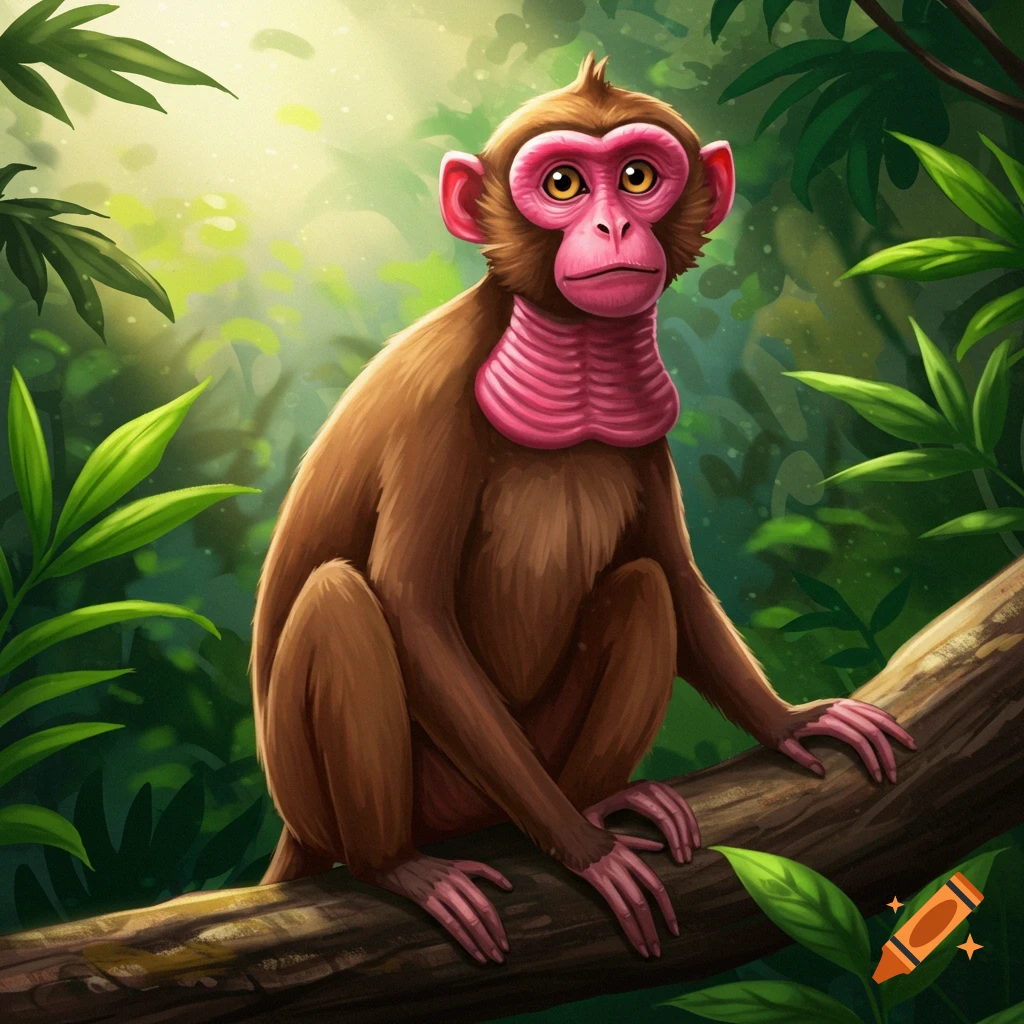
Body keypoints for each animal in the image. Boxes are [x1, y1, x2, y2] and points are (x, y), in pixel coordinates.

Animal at [250, 53, 915, 965]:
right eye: (563, 184)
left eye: (636, 177)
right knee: (340, 599)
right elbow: (412, 608)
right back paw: (398, 866)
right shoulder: (434, 406)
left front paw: (789, 721)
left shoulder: (648, 426)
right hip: (375, 791)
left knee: (640, 587)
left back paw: (601, 798)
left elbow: (672, 572)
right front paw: (588, 853)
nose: (611, 227)